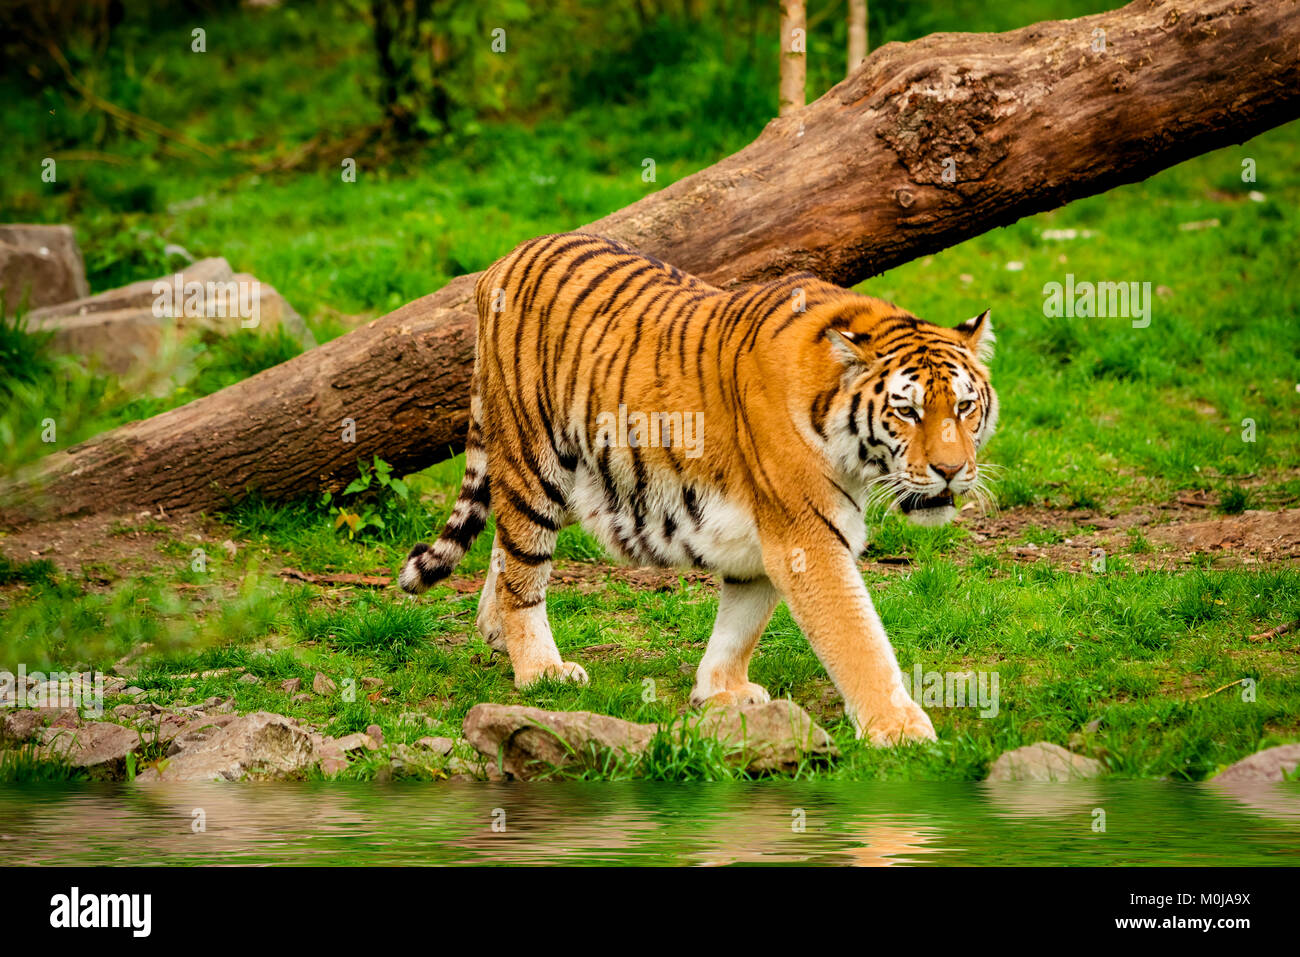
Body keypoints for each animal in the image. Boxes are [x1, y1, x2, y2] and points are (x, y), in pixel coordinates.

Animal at [400, 232, 998, 745]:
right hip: (536, 459)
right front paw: (900, 730)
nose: (951, 470)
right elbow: (857, 639)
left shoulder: (767, 534)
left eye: (965, 407)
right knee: (524, 564)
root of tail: (505, 260)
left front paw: (721, 691)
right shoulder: (807, 536)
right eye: (907, 411)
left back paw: (495, 630)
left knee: (504, 545)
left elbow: (741, 622)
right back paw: (540, 670)